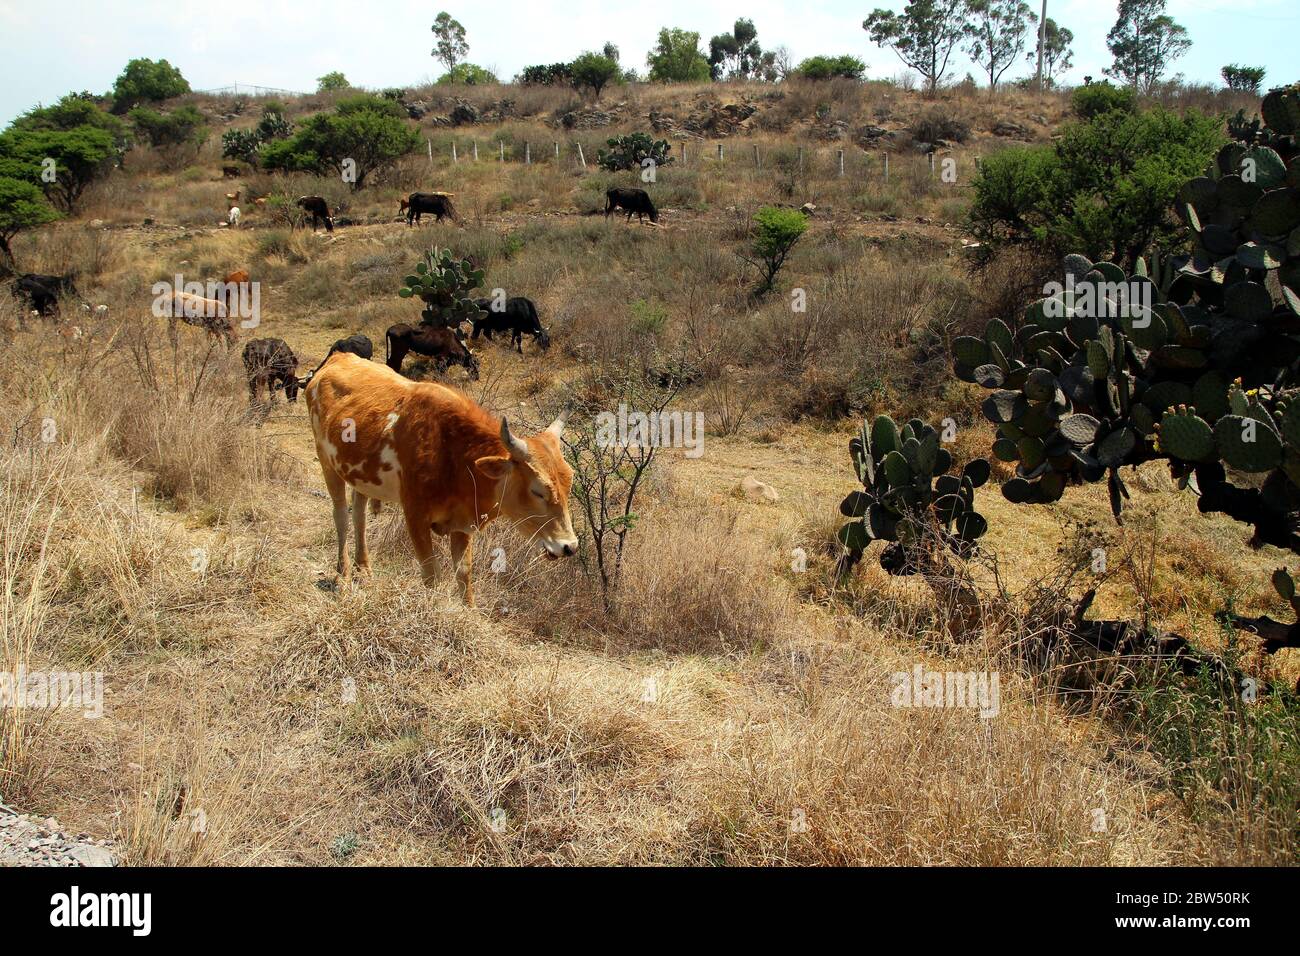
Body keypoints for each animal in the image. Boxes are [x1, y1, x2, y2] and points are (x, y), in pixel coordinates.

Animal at [304, 351, 577, 601]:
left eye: (569, 484)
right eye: (537, 491)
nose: (569, 546)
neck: (453, 453)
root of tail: (339, 357)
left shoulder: (462, 524)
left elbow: (464, 575)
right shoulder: (415, 517)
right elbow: (431, 574)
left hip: (361, 476)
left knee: (359, 514)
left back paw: (364, 568)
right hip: (327, 463)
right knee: (341, 515)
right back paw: (344, 572)